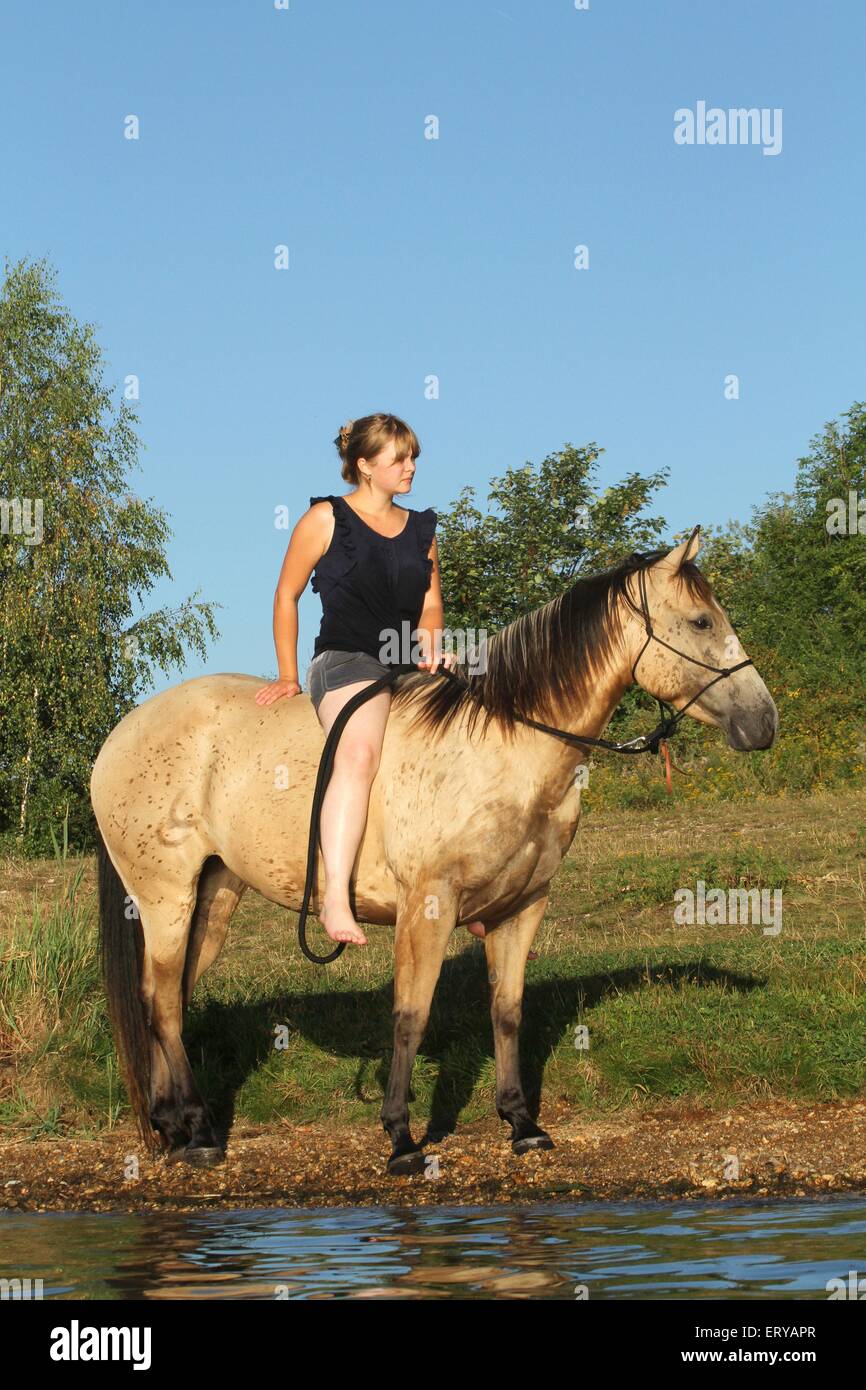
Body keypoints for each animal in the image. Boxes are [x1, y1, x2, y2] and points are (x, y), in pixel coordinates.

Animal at [92, 530, 778, 1172]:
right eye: (702, 621)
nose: (764, 721)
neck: (505, 746)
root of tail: (121, 735)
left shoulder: (522, 908)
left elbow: (507, 1012)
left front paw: (521, 1123)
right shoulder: (428, 906)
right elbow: (410, 1016)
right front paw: (400, 1138)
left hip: (213, 898)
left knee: (167, 1000)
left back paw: (173, 1126)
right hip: (167, 899)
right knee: (164, 1007)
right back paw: (201, 1131)